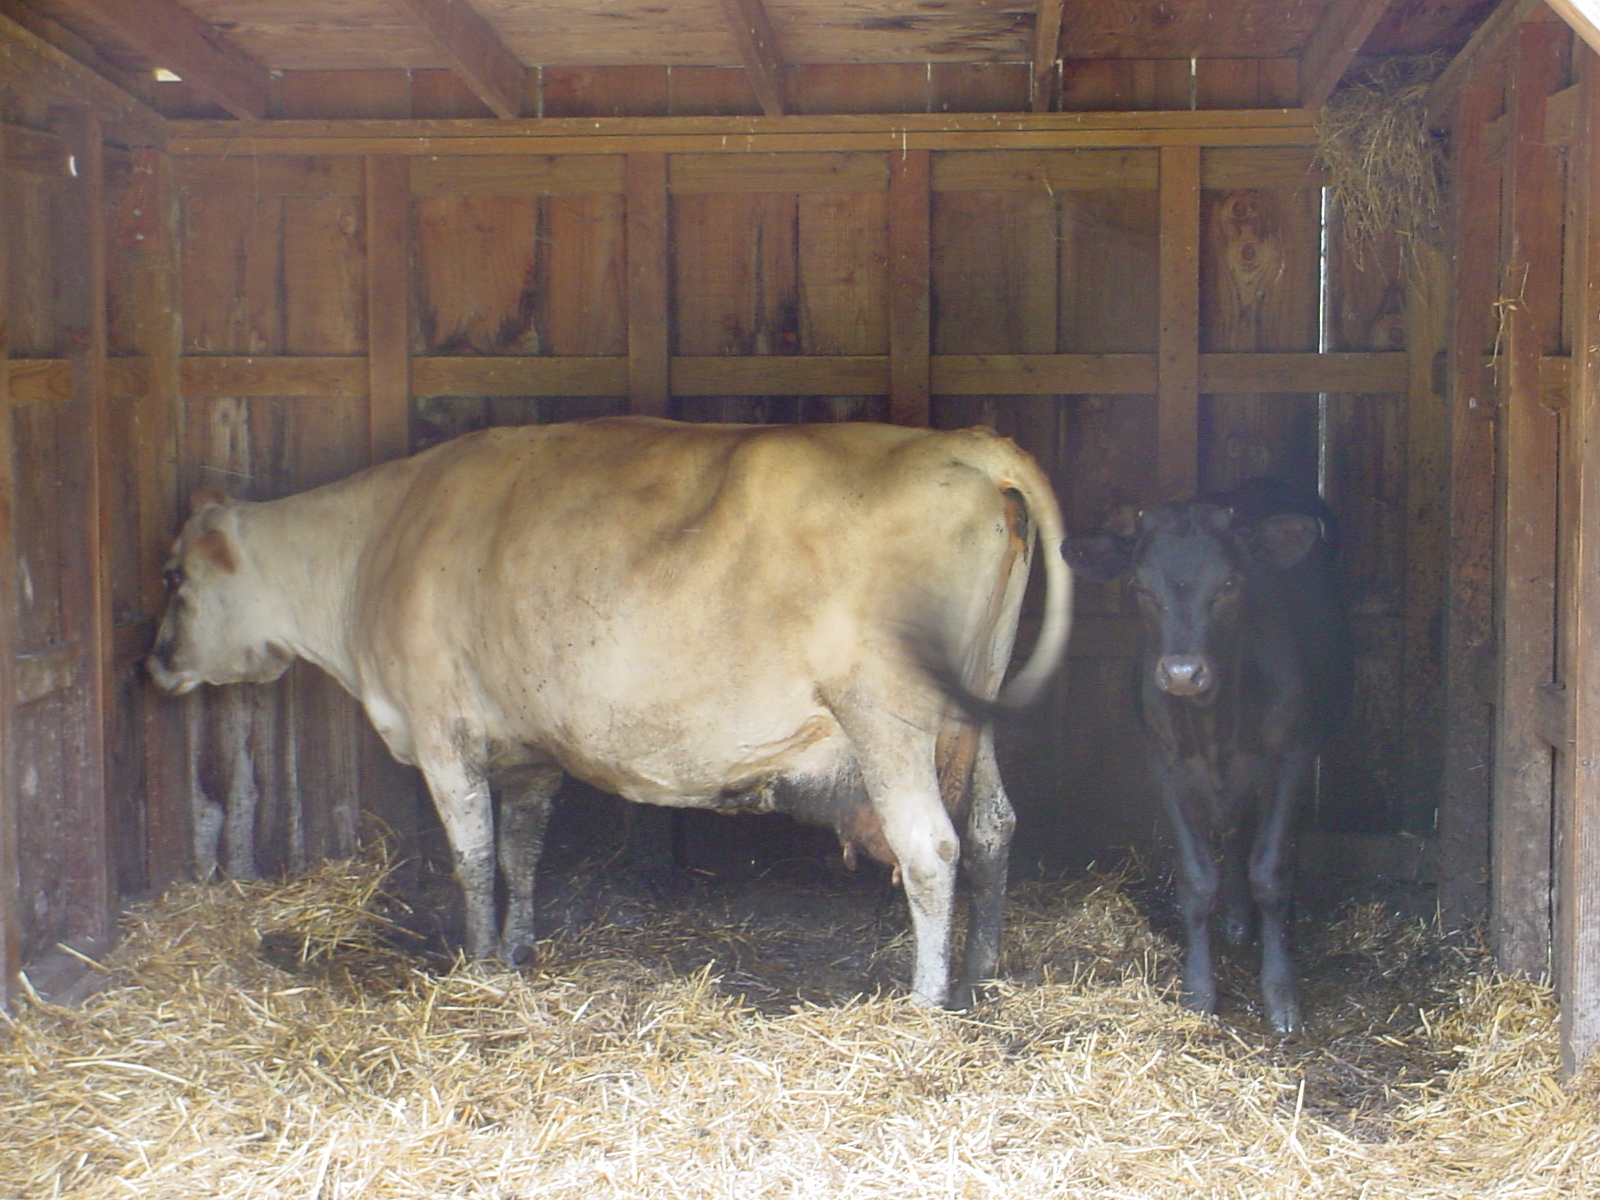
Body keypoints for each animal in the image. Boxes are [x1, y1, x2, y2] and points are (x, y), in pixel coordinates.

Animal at [148, 416, 1072, 1007]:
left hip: (887, 718)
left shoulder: (443, 730)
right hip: (975, 712)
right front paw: (517, 950)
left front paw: (478, 965)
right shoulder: (526, 749)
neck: (376, 543)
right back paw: (981, 977)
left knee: (932, 848)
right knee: (993, 825)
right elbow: (520, 853)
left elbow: (473, 858)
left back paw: (925, 1003)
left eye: (174, 575)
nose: (153, 660)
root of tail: (966, 441)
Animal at [1064, 477, 1351, 1033]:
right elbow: (1197, 881)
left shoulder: (1293, 753)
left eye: (1231, 583)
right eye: (1140, 587)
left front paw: (1281, 993)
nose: (1181, 673)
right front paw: (1198, 991)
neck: (1215, 717)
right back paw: (1237, 920)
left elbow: (1270, 871)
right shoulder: (1165, 763)